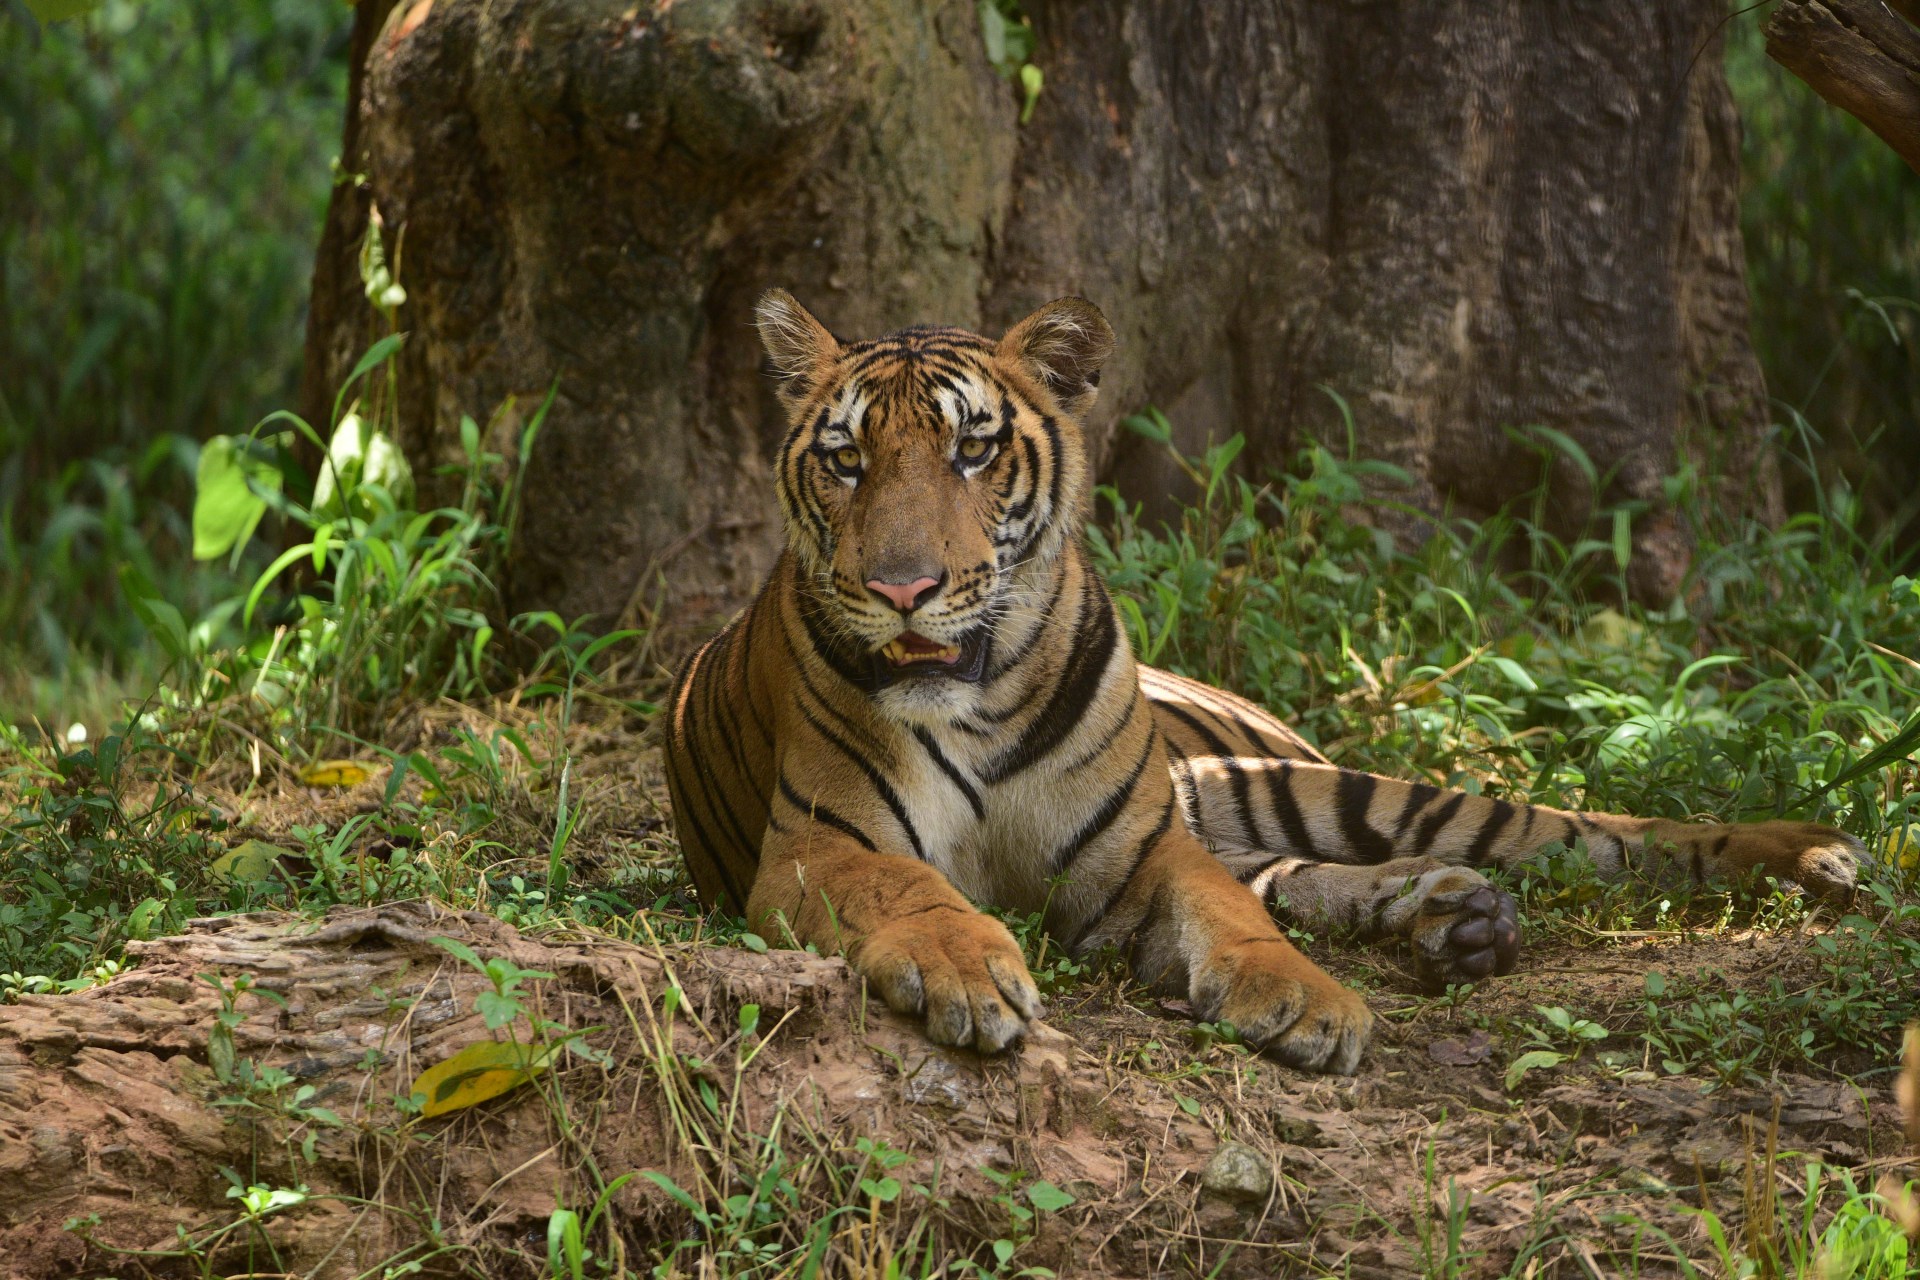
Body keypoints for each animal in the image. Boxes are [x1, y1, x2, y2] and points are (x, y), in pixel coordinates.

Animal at [662, 291, 1867, 1074]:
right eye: (846, 460)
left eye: (972, 450)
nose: (902, 587)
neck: (982, 698)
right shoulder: (818, 849)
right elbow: (913, 887)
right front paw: (965, 967)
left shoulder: (1142, 852)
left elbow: (1232, 916)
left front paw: (1307, 1001)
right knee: (1300, 871)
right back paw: (1455, 917)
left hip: (1305, 783)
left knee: (1577, 830)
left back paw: (1806, 852)